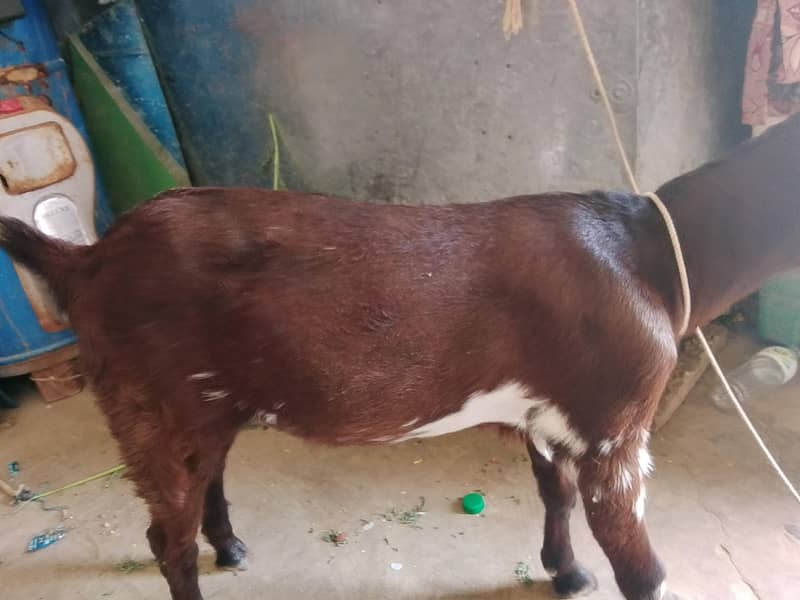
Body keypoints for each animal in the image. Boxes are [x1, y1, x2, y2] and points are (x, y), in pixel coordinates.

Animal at [2, 113, 799, 600]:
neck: (651, 254)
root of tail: (86, 261)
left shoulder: (551, 415)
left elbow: (556, 495)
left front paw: (565, 572)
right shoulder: (617, 427)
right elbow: (641, 565)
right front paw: (593, 571)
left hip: (206, 401)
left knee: (209, 483)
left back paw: (231, 548)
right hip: (148, 401)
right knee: (164, 534)